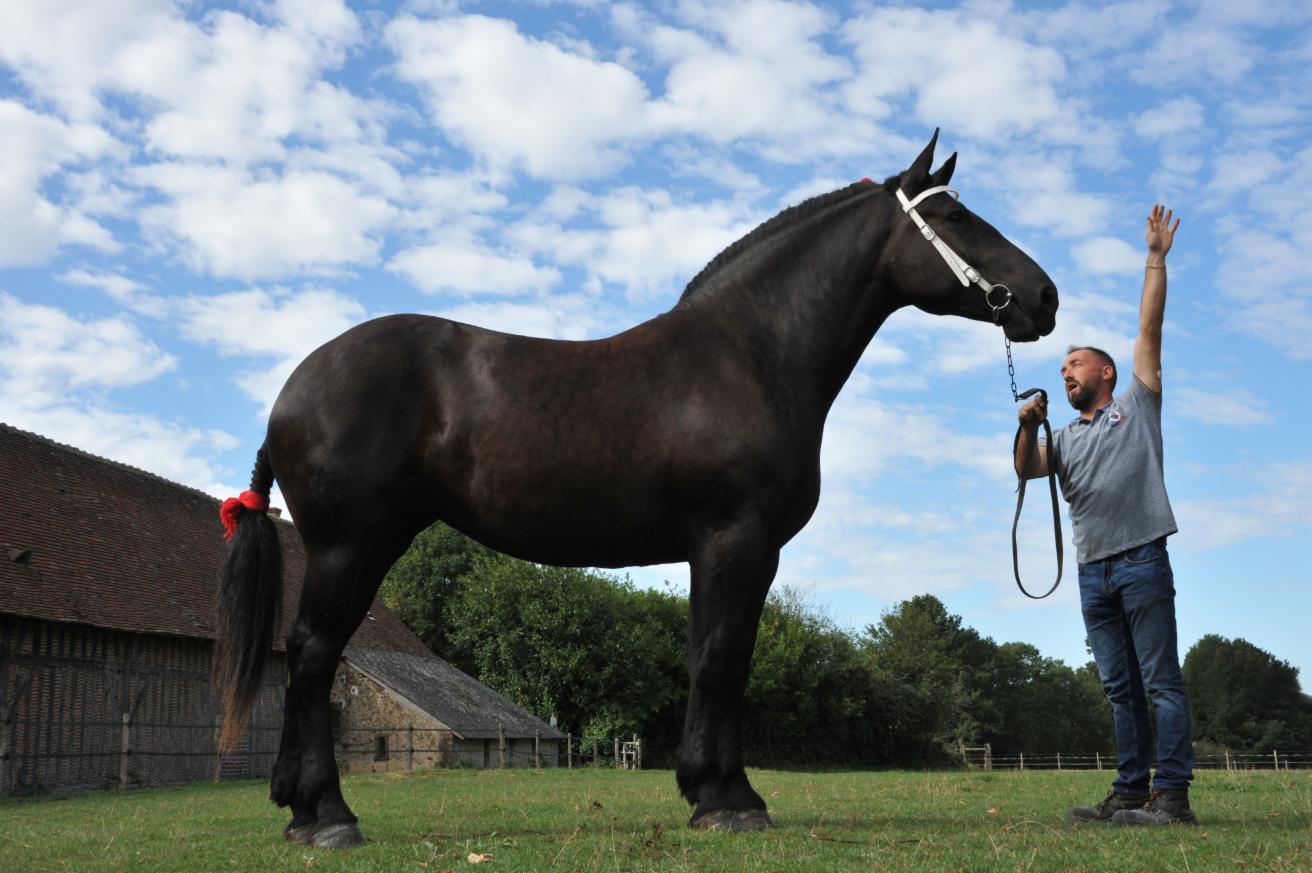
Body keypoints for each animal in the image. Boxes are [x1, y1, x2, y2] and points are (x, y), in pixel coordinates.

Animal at [213, 131, 1057, 848]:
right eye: (951, 214)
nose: (1043, 297)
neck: (748, 354)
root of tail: (293, 391)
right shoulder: (736, 539)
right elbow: (722, 659)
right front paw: (729, 799)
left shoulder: (721, 550)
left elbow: (712, 654)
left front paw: (708, 790)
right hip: (351, 544)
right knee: (314, 656)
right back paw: (329, 814)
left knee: (310, 657)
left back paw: (298, 808)